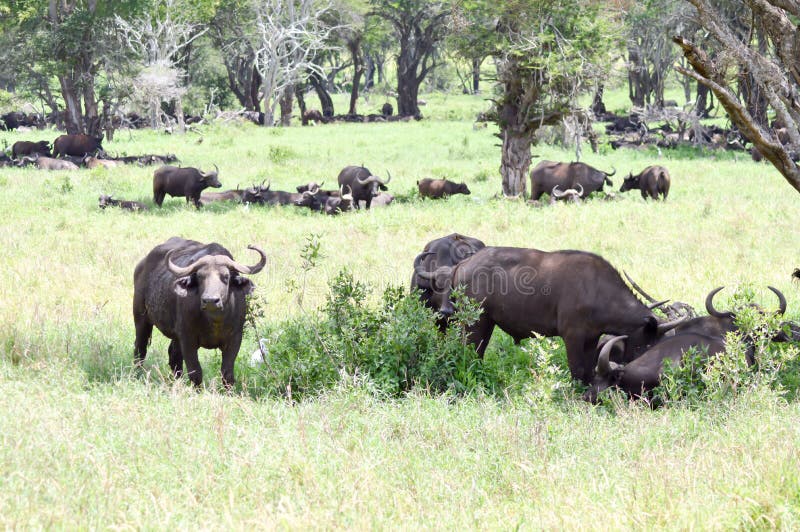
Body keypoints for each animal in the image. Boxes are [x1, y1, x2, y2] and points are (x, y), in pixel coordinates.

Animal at [133, 237, 266, 388]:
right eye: (200, 276)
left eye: (226, 276)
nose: (210, 300)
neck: (214, 320)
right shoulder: (187, 338)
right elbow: (195, 372)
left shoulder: (235, 338)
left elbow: (227, 373)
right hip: (140, 318)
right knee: (140, 349)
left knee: (173, 355)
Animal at [415, 246, 683, 383]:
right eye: (644, 345)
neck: (598, 289)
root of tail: (462, 265)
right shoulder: (572, 337)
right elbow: (576, 370)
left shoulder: (592, 338)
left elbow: (588, 370)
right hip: (476, 323)